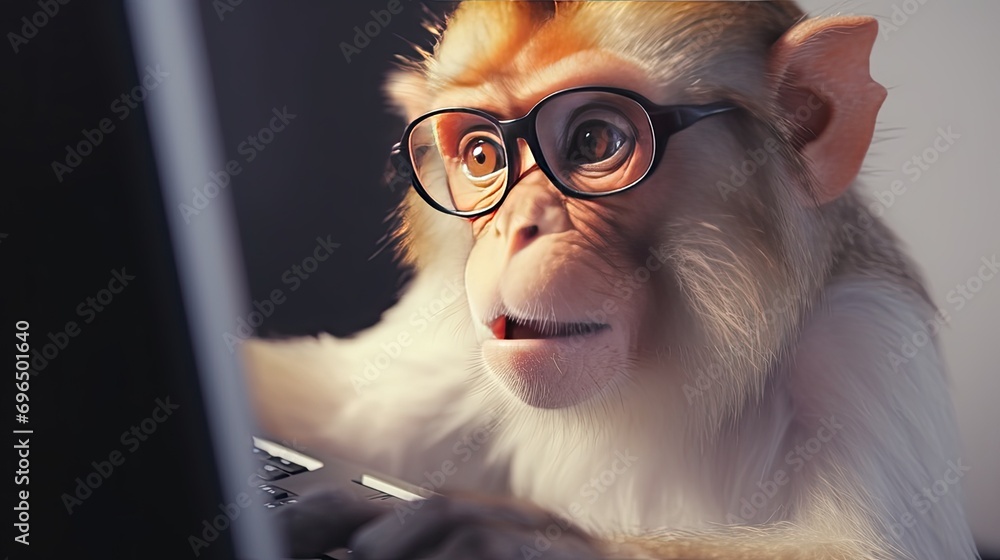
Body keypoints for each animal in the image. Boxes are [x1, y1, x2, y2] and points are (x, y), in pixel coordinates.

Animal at [243, 2, 979, 559]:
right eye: (481, 154)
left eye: (596, 140)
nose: (516, 229)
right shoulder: (453, 340)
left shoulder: (864, 338)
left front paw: (516, 538)